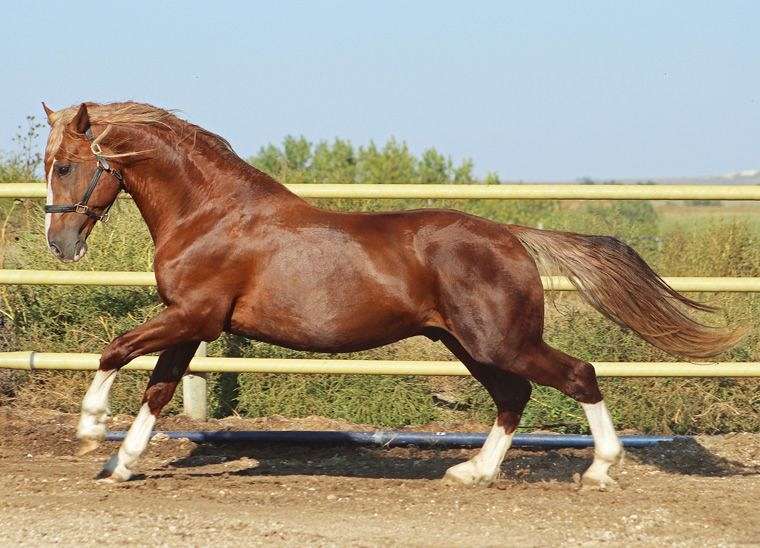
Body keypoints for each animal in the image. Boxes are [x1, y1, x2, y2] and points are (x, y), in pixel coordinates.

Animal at [41, 101, 745, 489]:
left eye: (67, 164)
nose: (61, 243)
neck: (210, 214)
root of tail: (514, 236)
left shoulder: (193, 316)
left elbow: (115, 351)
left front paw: (89, 429)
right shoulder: (191, 324)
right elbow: (158, 389)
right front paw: (120, 465)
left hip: (500, 340)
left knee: (578, 375)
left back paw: (599, 469)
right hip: (466, 344)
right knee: (514, 397)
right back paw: (474, 472)